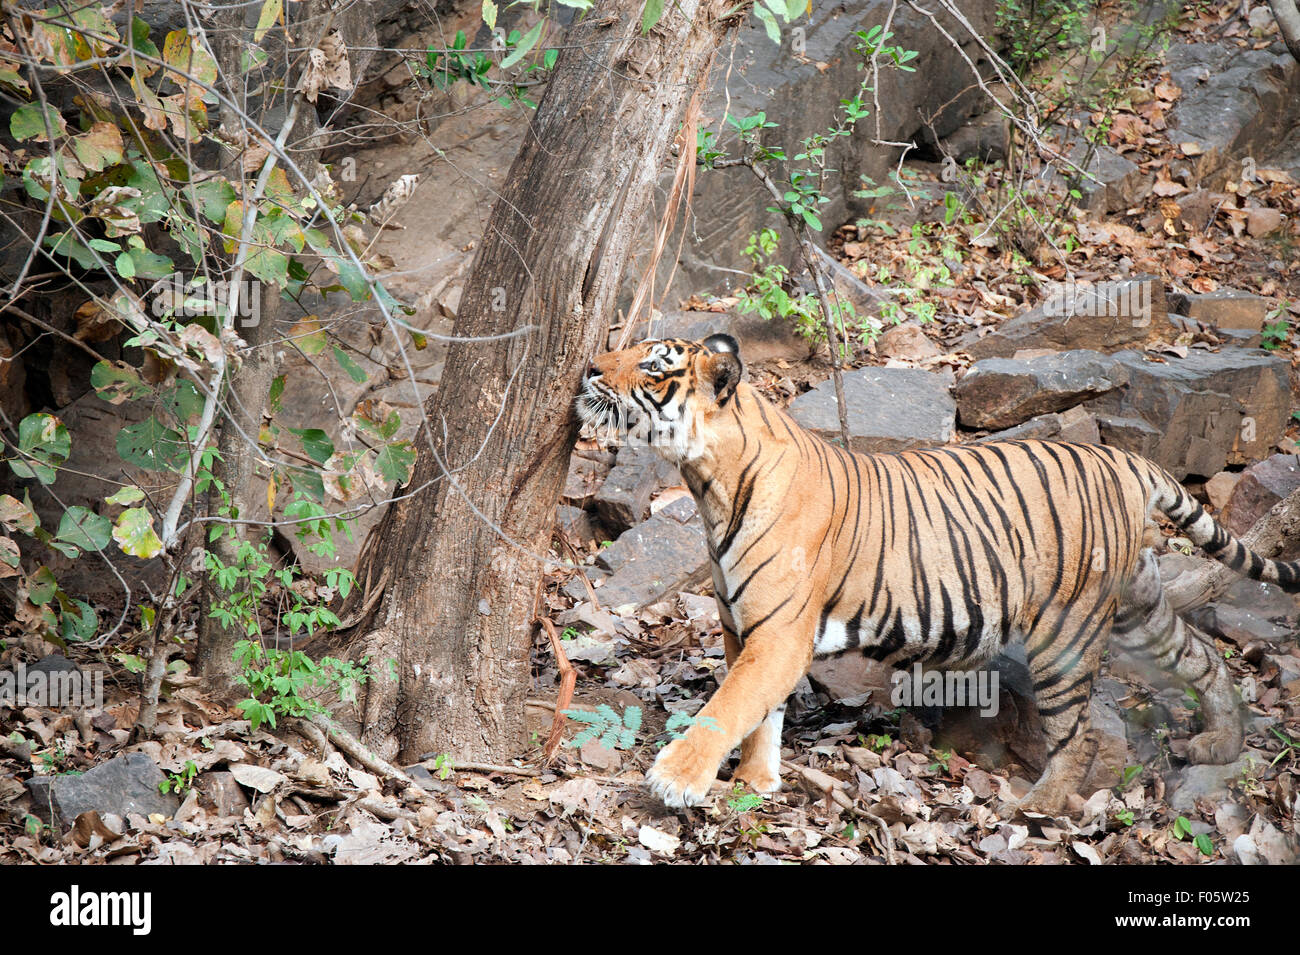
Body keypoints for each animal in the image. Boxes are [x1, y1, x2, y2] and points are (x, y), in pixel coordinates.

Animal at [575, 333, 1300, 813]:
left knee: (1079, 732)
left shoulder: (779, 632)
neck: (710, 483)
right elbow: (759, 712)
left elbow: (727, 707)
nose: (587, 367)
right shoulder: (740, 626)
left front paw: (676, 779)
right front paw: (757, 781)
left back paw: (1035, 808)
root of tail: (1126, 461)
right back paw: (1220, 742)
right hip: (1136, 607)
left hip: (1066, 632)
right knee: (1202, 656)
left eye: (651, 364)